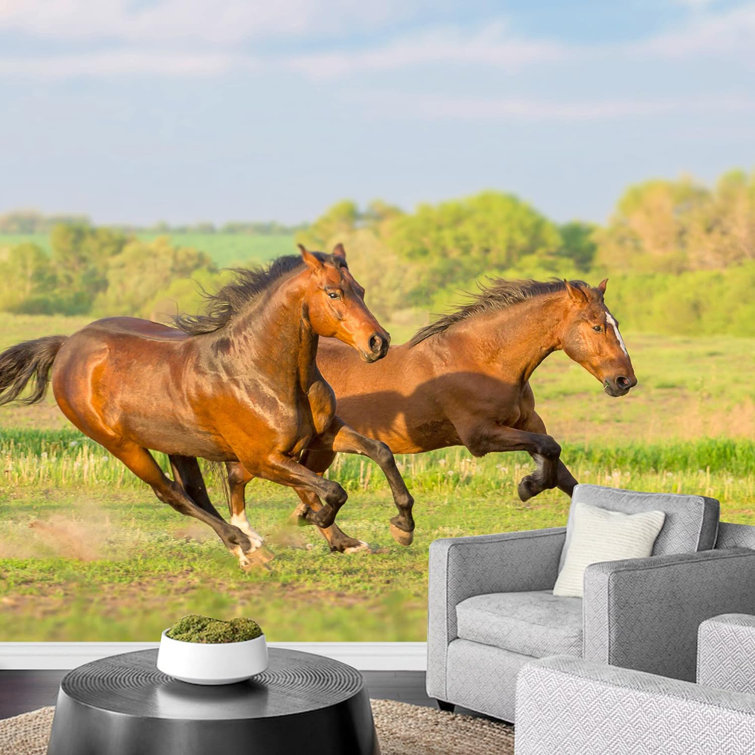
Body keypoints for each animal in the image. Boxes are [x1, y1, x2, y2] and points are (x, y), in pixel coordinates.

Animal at [0, 244, 415, 567]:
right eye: (332, 293)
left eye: (360, 289)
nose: (379, 342)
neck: (258, 370)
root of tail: (66, 345)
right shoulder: (262, 459)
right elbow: (331, 490)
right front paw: (315, 519)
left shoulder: (324, 433)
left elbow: (380, 451)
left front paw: (398, 527)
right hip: (123, 446)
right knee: (171, 494)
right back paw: (244, 544)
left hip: (178, 445)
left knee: (194, 492)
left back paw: (252, 546)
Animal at [263, 277, 636, 550]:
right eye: (597, 327)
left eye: (616, 323)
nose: (625, 381)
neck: (482, 359)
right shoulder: (480, 436)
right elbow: (550, 449)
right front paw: (528, 486)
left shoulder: (526, 423)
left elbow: (564, 474)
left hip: (323, 444)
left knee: (305, 482)